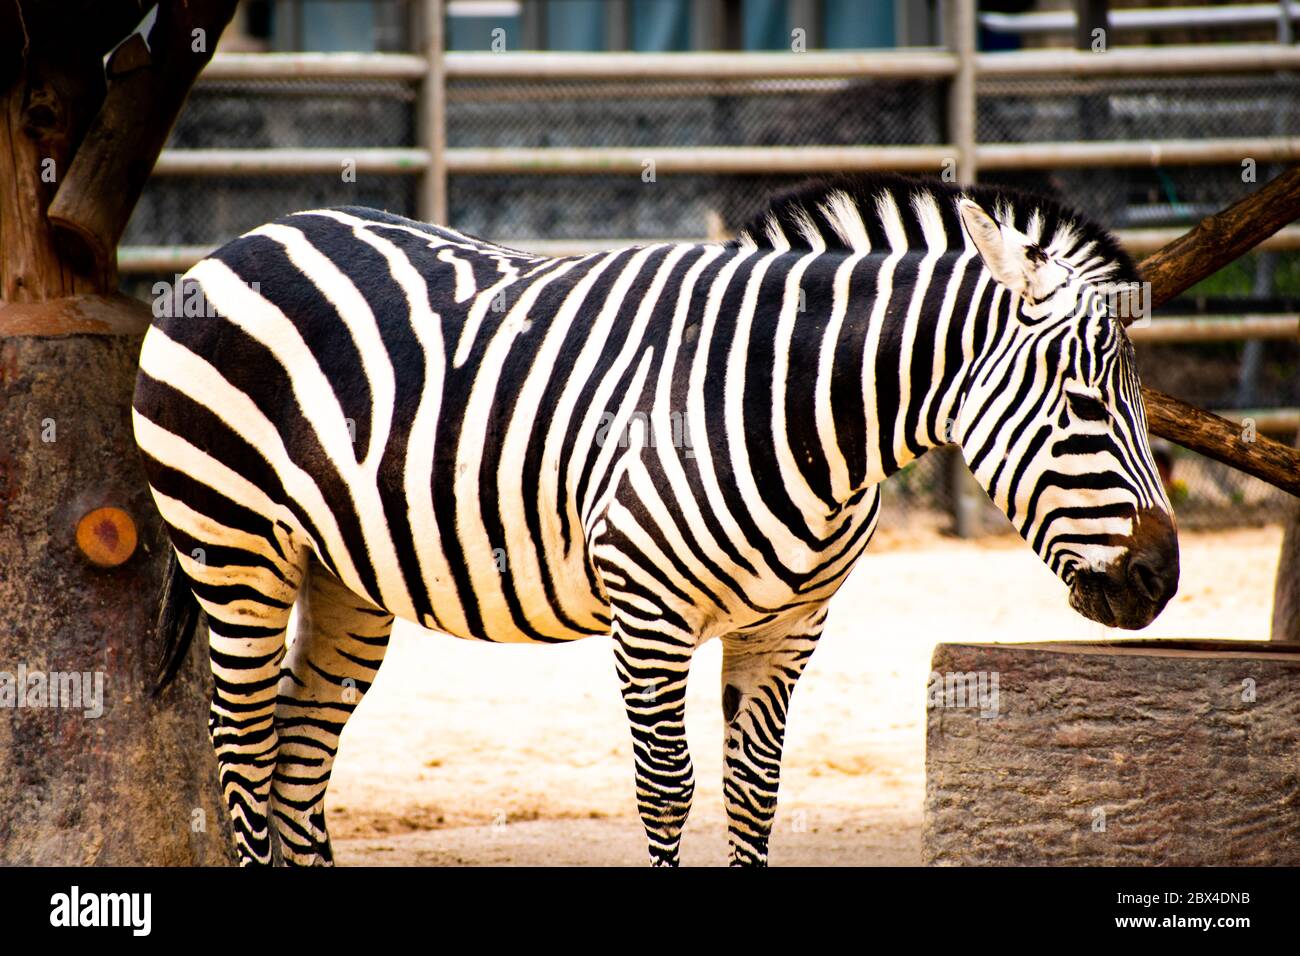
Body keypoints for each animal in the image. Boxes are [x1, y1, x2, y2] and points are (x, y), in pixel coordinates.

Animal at [132, 172, 1179, 867]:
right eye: (1087, 403)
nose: (1162, 579)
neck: (798, 416)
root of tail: (250, 236)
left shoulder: (790, 626)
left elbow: (754, 792)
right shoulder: (650, 614)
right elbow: (668, 791)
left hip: (343, 575)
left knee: (299, 761)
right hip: (234, 547)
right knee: (243, 745)